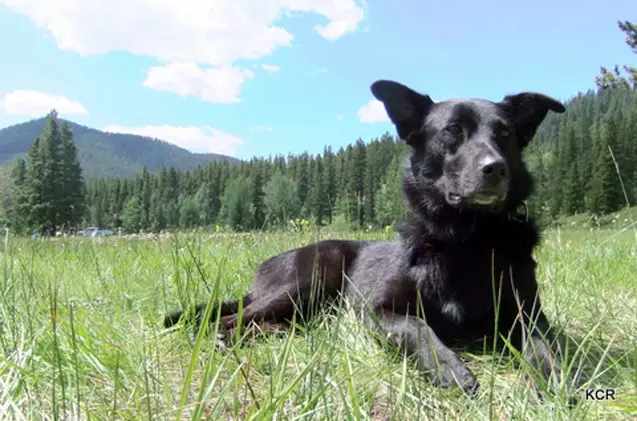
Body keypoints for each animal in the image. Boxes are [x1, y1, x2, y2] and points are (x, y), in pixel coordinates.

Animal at [164, 79, 572, 398]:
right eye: (452, 131)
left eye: (505, 134)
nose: (495, 169)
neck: (465, 240)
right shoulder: (376, 311)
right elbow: (417, 326)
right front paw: (448, 367)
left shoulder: (527, 312)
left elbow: (544, 343)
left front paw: (557, 376)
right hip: (311, 276)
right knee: (230, 318)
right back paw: (228, 337)